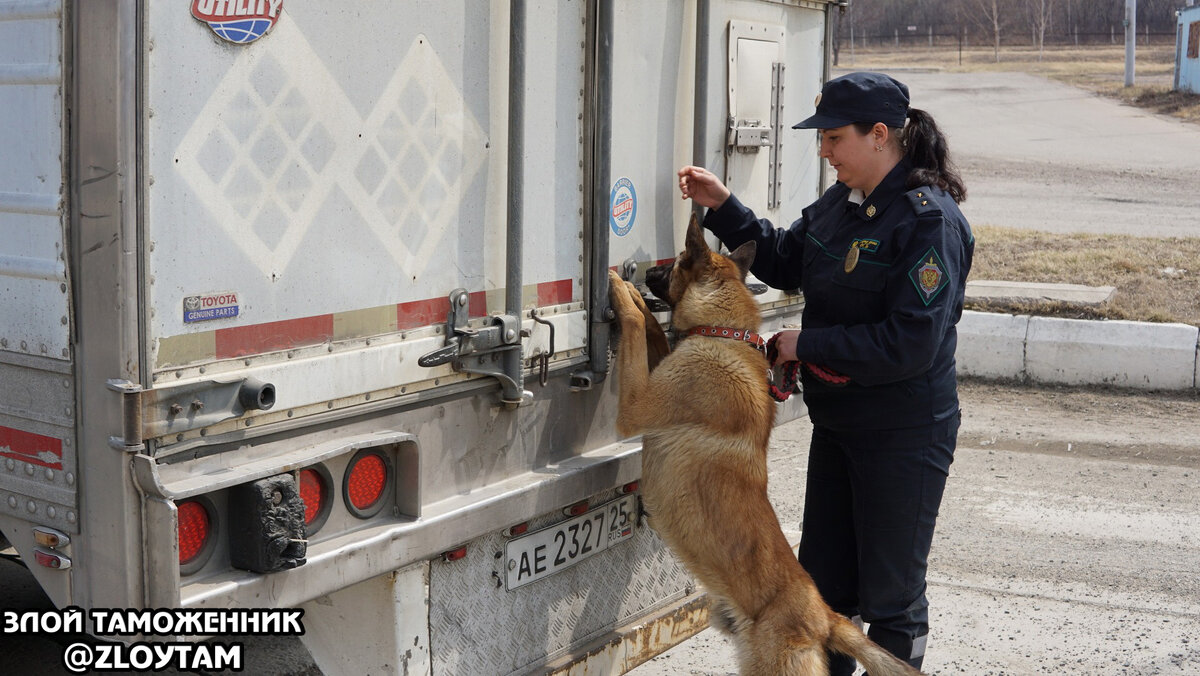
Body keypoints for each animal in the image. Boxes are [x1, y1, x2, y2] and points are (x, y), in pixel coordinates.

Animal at [609, 213, 916, 672]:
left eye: (677, 260)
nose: (646, 273)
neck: (723, 333)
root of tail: (825, 616)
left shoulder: (634, 407)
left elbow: (632, 324)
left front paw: (623, 293)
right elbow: (652, 331)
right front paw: (638, 300)